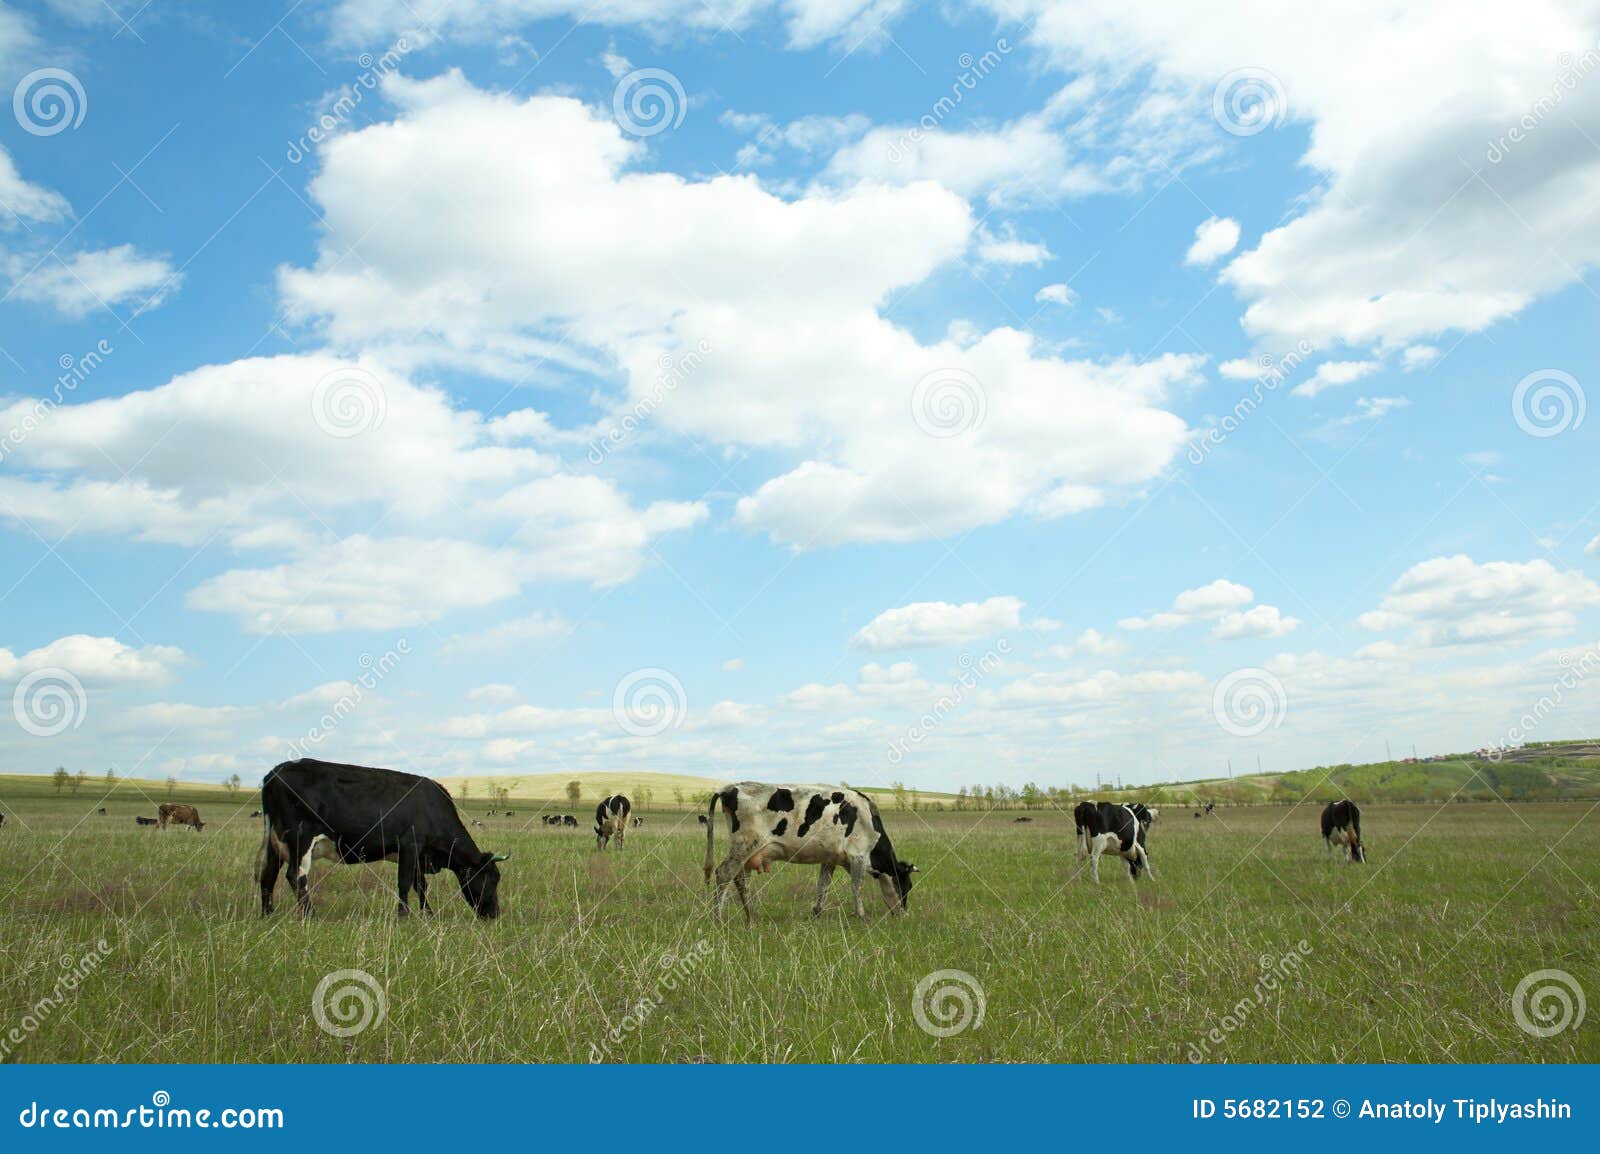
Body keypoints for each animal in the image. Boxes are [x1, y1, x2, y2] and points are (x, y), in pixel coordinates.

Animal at [259, 758, 509, 919]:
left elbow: (421, 884)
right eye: (490, 879)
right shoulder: (410, 844)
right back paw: (310, 915)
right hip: (300, 839)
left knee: (267, 875)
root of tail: (276, 771)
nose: (495, 914)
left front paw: (427, 914)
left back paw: (267, 914)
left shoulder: (417, 854)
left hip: (275, 842)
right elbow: (405, 883)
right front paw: (403, 916)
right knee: (296, 876)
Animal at [703, 783, 917, 921]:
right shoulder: (858, 857)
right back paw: (717, 918)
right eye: (907, 886)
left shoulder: (830, 859)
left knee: (741, 880)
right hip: (745, 844)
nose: (904, 915)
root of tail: (729, 788)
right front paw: (862, 916)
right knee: (724, 874)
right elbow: (857, 887)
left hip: (746, 852)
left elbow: (823, 886)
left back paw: (752, 916)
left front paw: (816, 914)